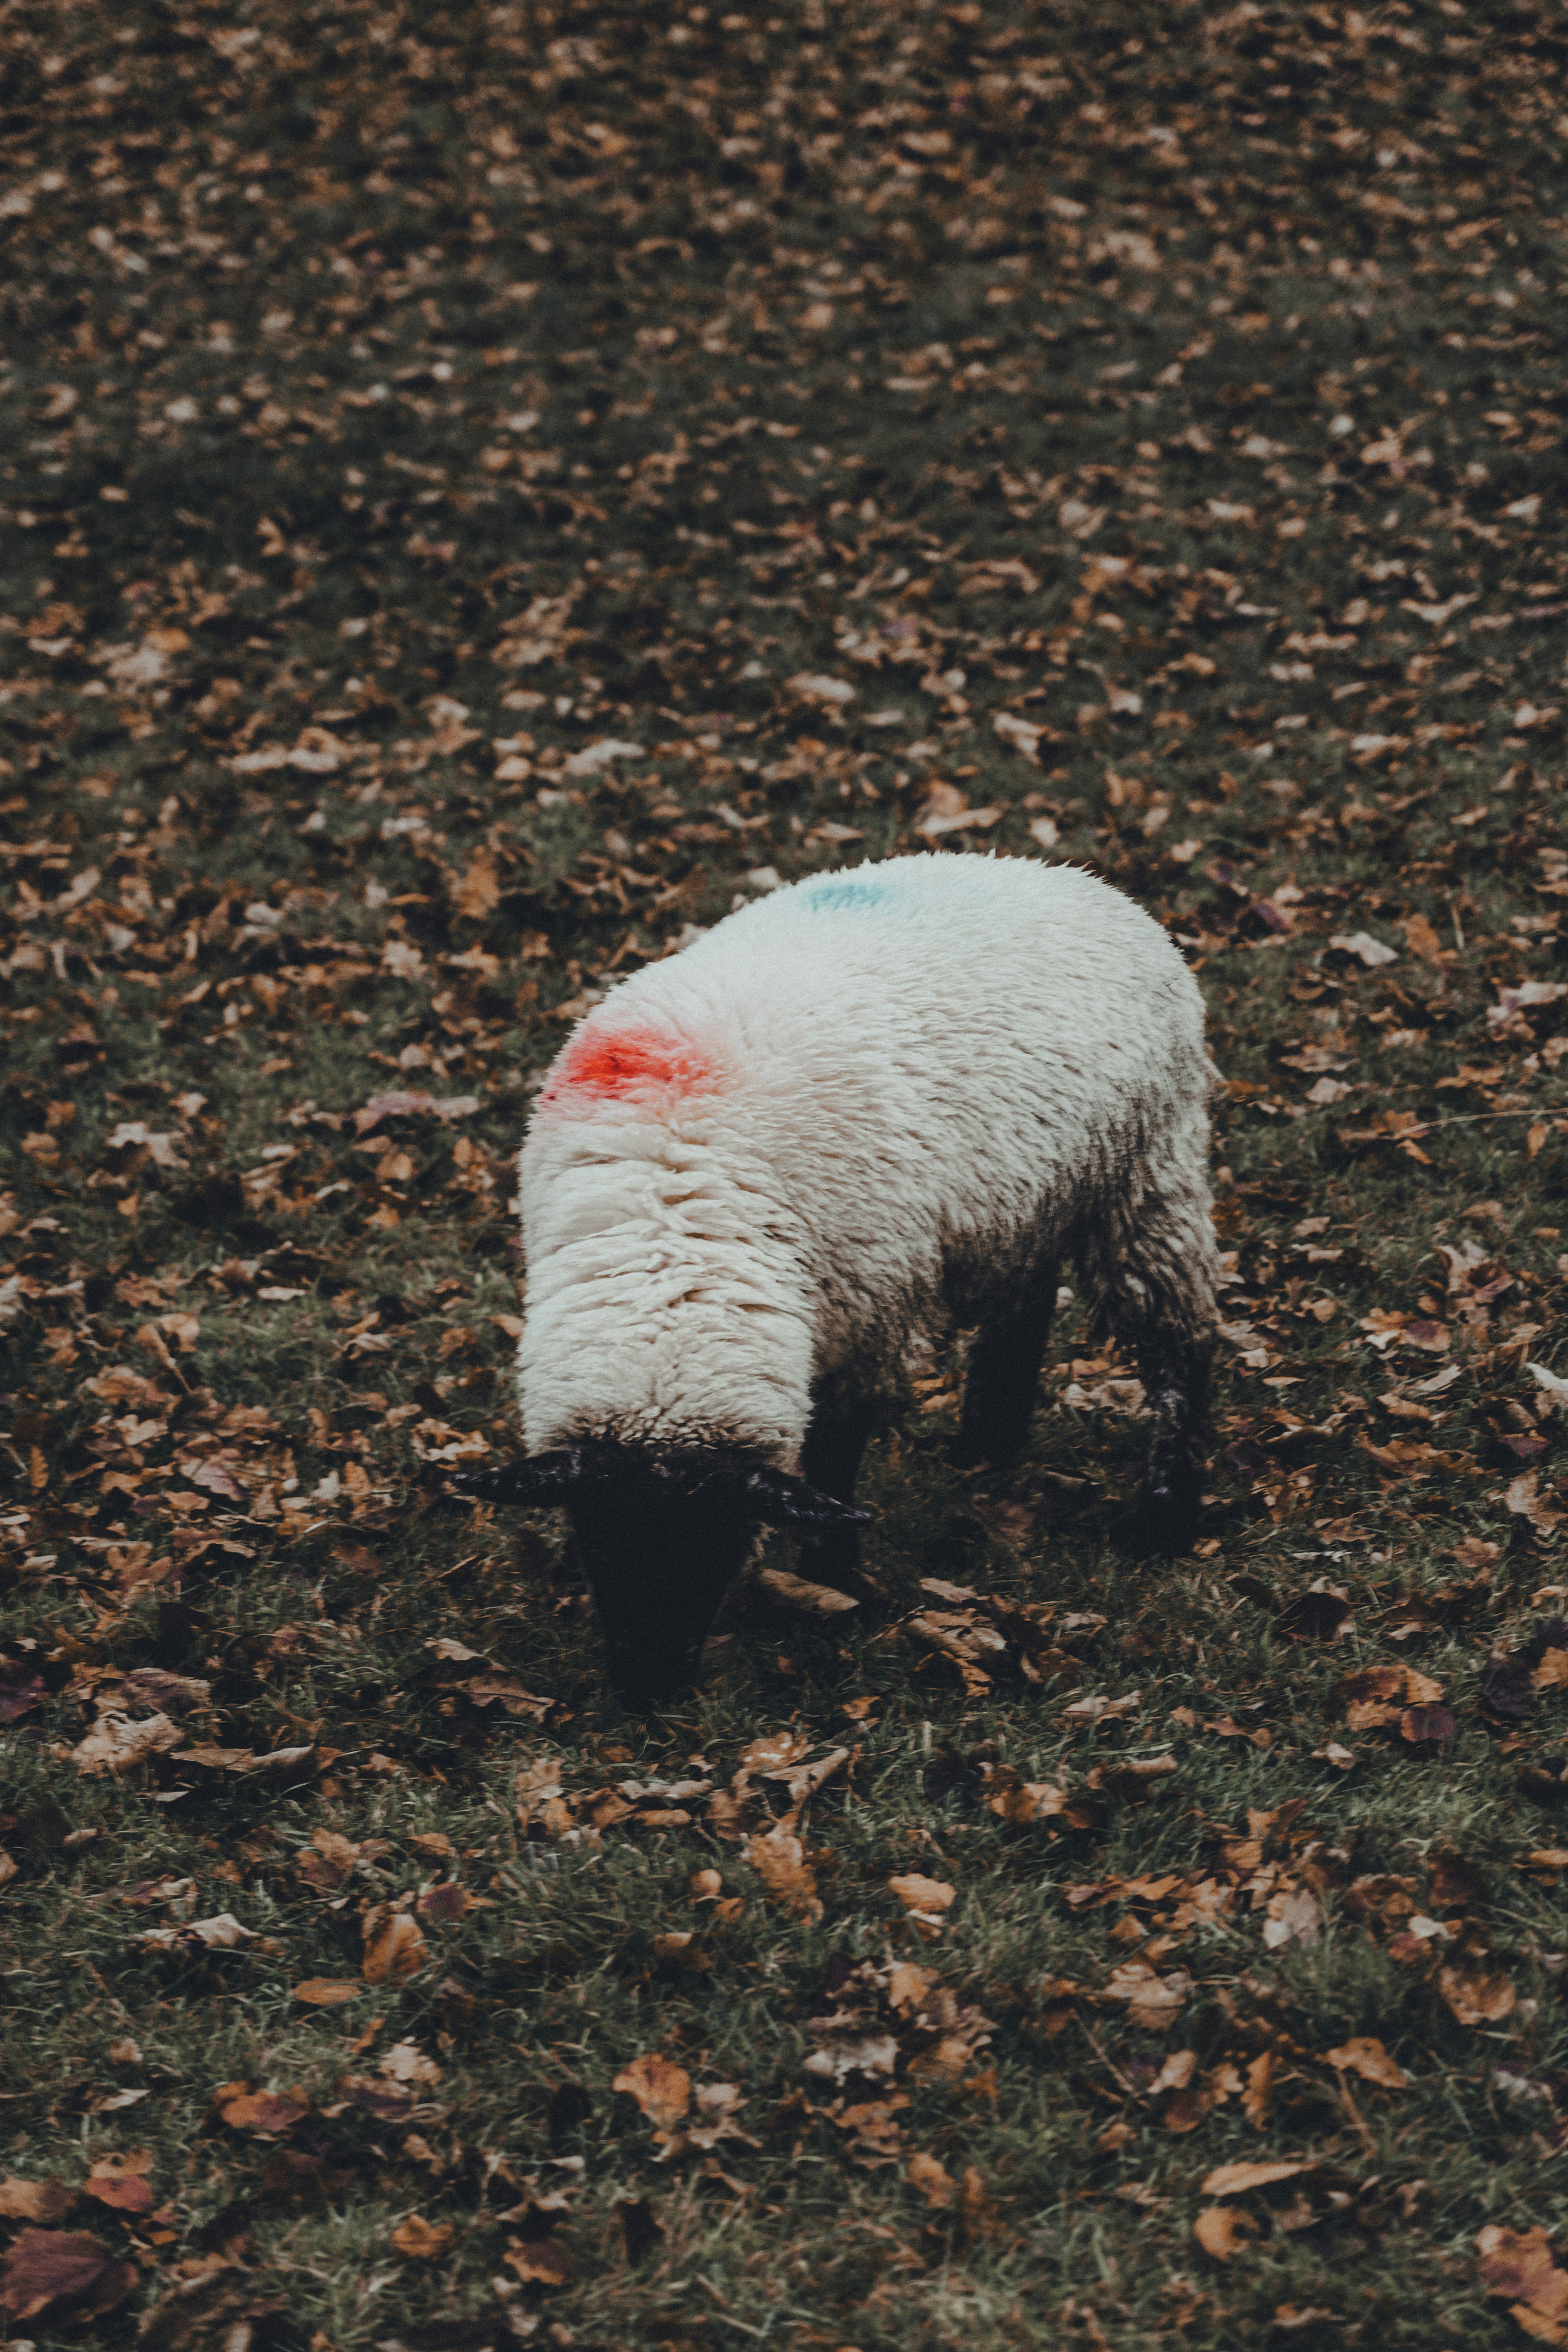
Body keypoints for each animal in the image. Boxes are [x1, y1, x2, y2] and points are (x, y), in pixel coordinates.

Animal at [461, 851, 1219, 1703]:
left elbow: (833, 1452)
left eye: (718, 1540)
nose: (649, 1692)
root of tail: (1072, 877)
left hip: (1146, 1173)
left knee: (1181, 1343)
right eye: (596, 1538)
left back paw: (1163, 1513)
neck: (672, 1233)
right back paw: (986, 1444)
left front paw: (830, 1581)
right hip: (1024, 1198)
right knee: (1025, 1304)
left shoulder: (869, 1312)